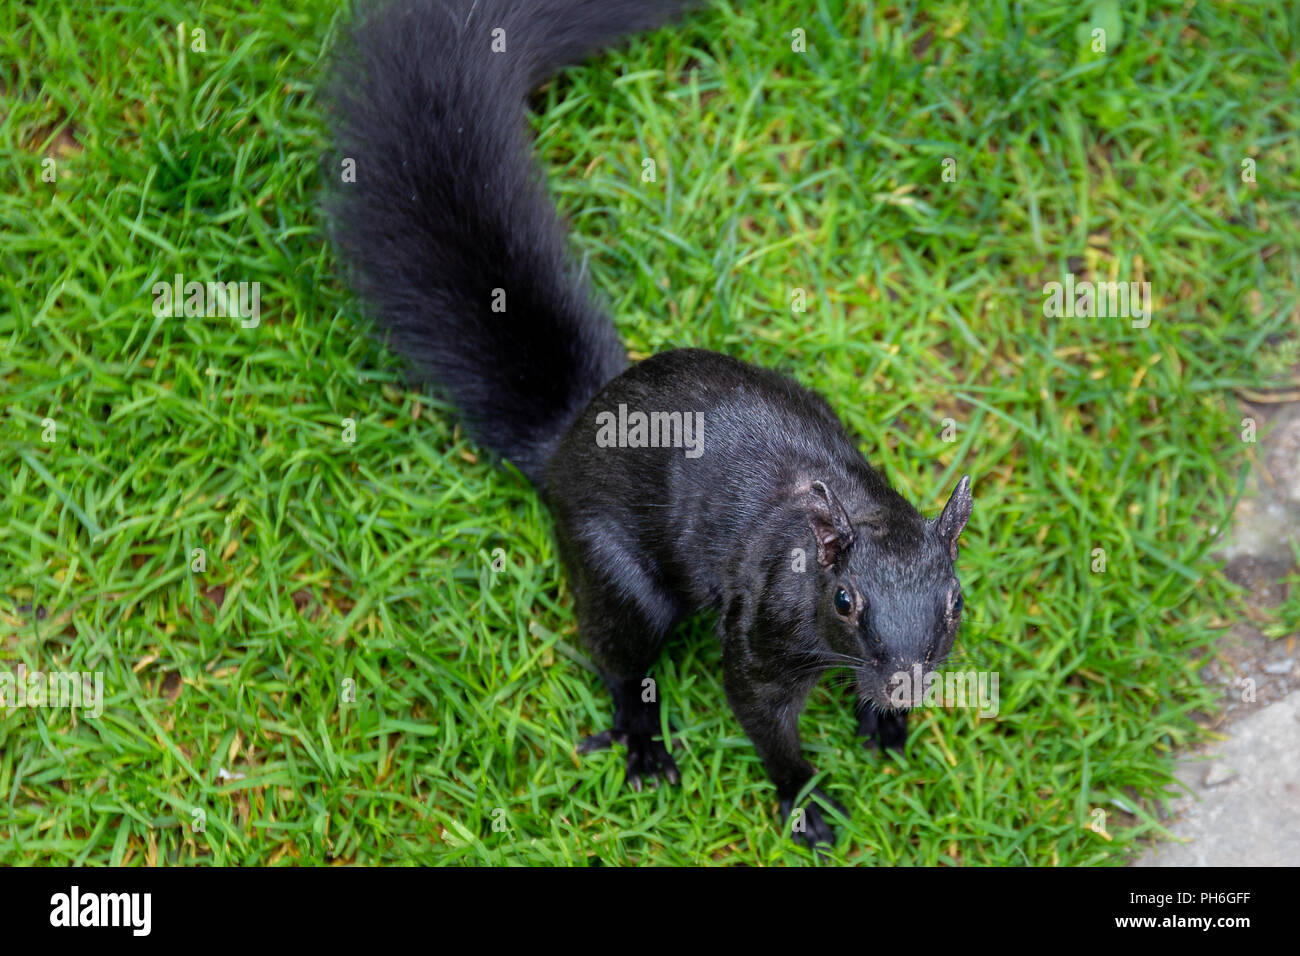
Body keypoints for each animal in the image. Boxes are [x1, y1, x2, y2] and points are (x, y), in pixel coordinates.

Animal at [324, 0, 973, 848]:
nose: (902, 684)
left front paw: (885, 722)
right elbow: (763, 720)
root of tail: (574, 431)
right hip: (618, 575)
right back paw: (642, 741)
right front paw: (805, 802)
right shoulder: (761, 633)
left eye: (956, 599)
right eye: (843, 602)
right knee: (619, 656)